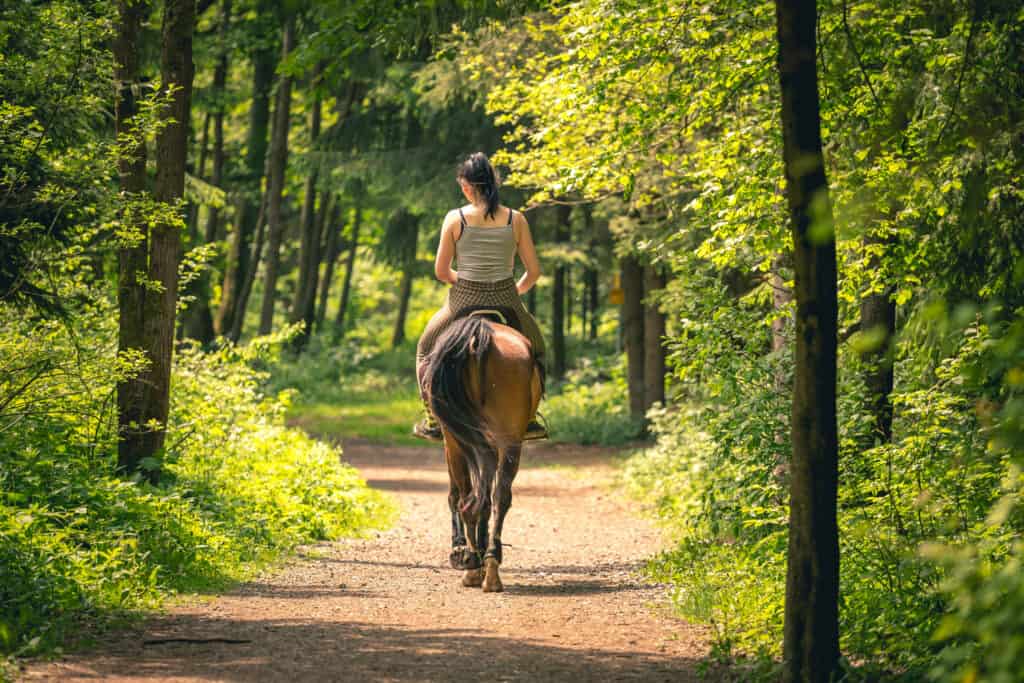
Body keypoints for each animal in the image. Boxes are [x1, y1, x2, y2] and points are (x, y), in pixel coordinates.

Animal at [421, 312, 543, 592]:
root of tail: (478, 336)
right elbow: (486, 500)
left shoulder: (451, 443)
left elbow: (455, 495)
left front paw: (460, 551)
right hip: (510, 440)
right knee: (498, 497)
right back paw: (491, 565)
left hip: (459, 440)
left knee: (468, 500)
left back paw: (474, 566)